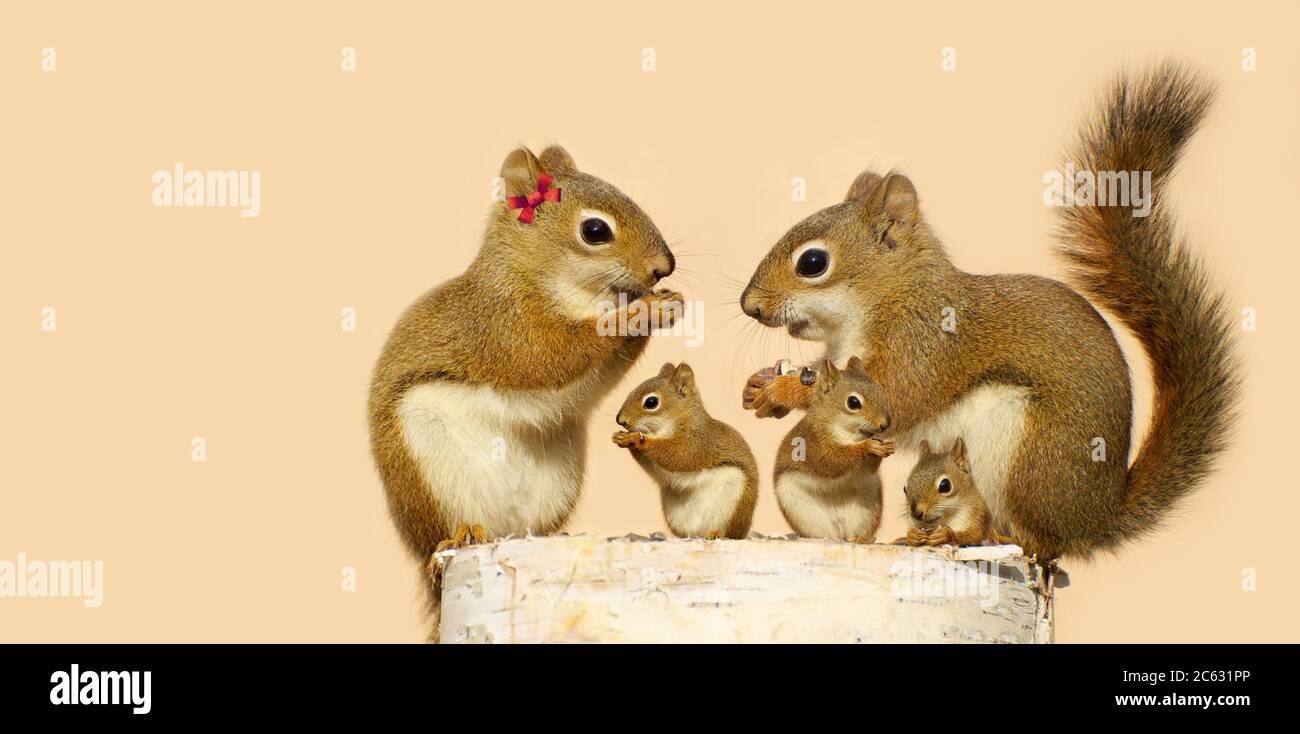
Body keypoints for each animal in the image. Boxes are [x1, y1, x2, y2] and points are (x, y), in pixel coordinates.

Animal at [369, 144, 679, 625]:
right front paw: (635, 313)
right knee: (443, 533)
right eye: (594, 231)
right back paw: (461, 534)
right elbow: (551, 356)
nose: (664, 268)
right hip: (427, 468)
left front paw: (665, 305)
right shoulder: (502, 327)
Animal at [612, 362, 758, 539]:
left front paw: (635, 439)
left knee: (729, 533)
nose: (621, 420)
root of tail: (699, 533)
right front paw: (621, 437)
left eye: (651, 402)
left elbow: (677, 456)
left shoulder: (697, 442)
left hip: (733, 505)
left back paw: (716, 534)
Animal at [773, 357, 895, 543]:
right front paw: (867, 446)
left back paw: (859, 538)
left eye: (881, 391)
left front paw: (886, 447)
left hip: (866, 507)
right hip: (801, 509)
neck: (849, 433)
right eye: (853, 402)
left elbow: (869, 469)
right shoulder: (813, 443)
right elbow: (832, 462)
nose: (884, 424)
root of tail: (840, 532)